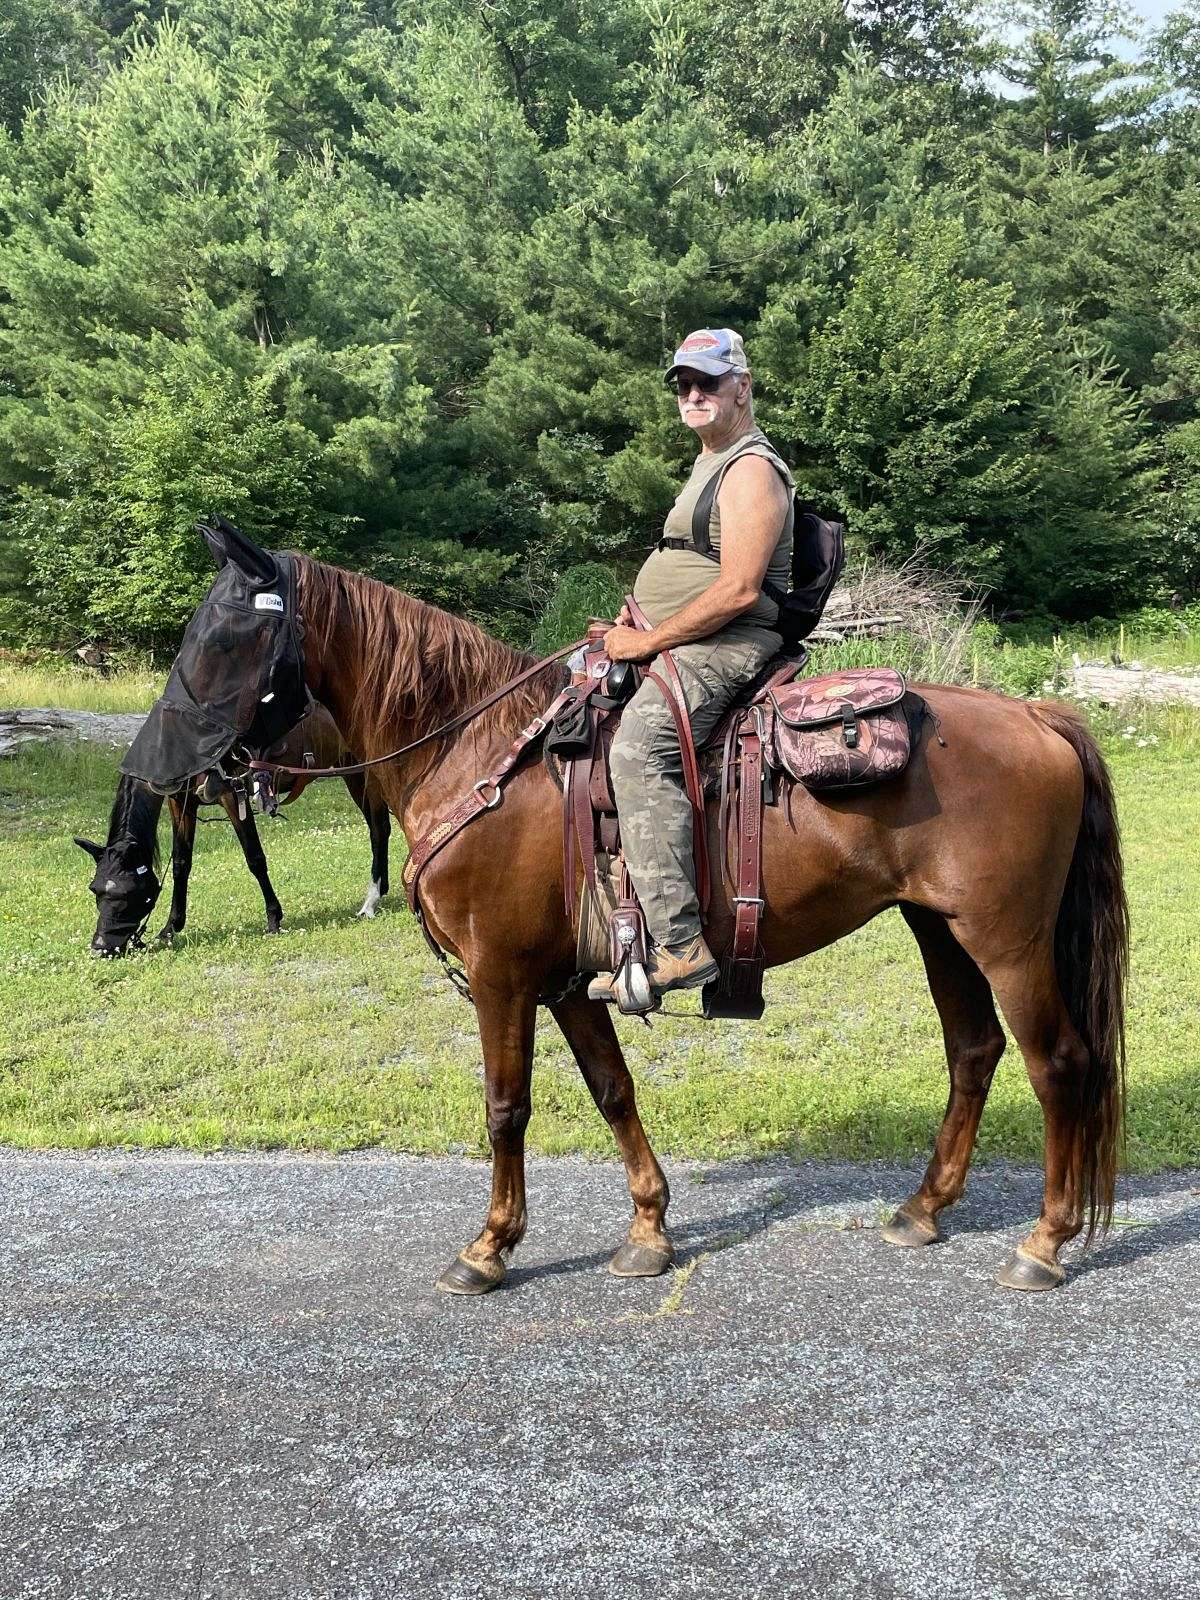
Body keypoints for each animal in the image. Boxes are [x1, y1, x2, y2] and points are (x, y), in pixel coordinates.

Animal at [75, 708, 391, 955]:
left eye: (126, 892)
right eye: (95, 889)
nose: (100, 948)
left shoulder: (232, 796)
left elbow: (255, 858)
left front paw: (273, 919)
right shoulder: (180, 803)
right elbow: (181, 863)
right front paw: (170, 927)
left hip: (365, 772)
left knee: (378, 829)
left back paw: (371, 901)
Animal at [145, 521, 1128, 1298]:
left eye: (227, 632)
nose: (163, 766)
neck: (479, 753)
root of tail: (1037, 717)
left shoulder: (502, 975)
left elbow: (506, 1106)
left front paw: (489, 1247)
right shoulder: (565, 982)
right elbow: (612, 1091)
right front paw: (649, 1229)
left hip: (1007, 940)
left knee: (1059, 1064)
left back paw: (1044, 1243)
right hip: (939, 930)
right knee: (974, 1052)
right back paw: (924, 1208)